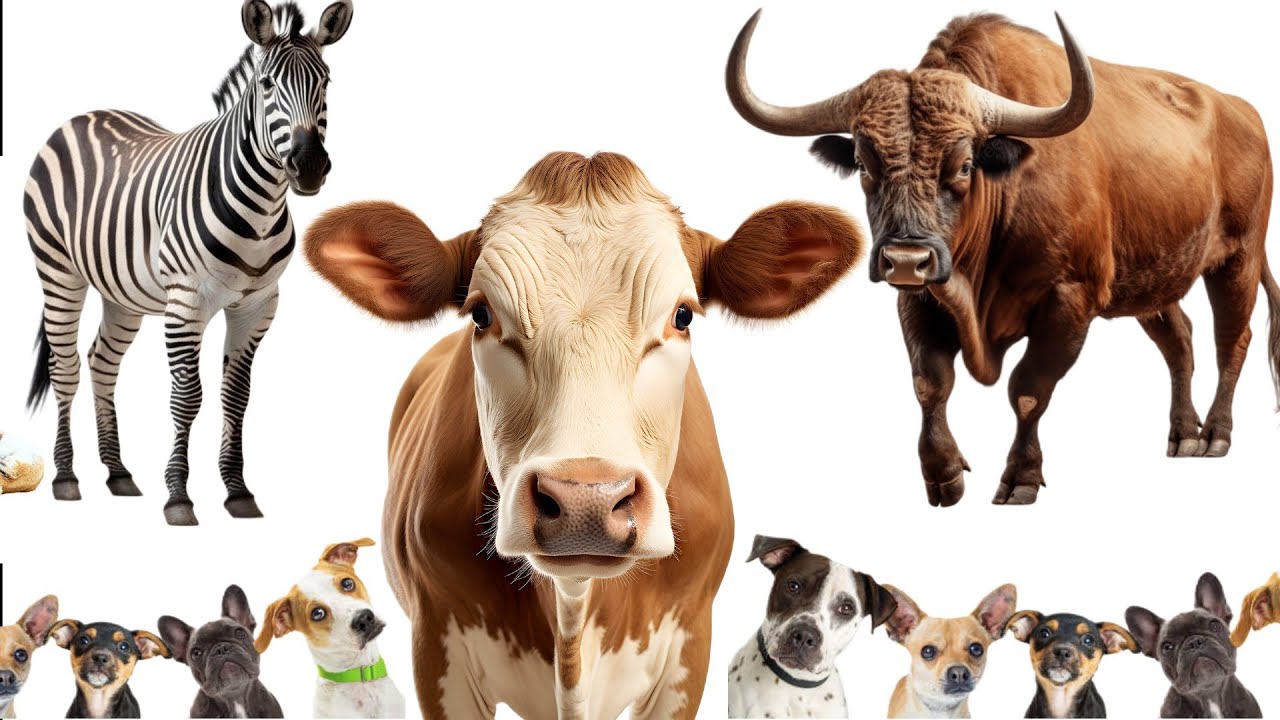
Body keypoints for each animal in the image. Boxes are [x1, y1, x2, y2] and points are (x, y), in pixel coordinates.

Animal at [727, 11, 1278, 506]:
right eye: (863, 164)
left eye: (964, 163)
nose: (906, 259)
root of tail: (1241, 111)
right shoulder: (920, 299)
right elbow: (930, 383)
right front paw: (944, 476)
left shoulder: (1069, 301)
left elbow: (1029, 389)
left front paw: (1021, 478)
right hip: (1154, 280)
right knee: (1179, 340)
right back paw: (1183, 433)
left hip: (1239, 260)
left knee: (1231, 339)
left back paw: (1215, 435)